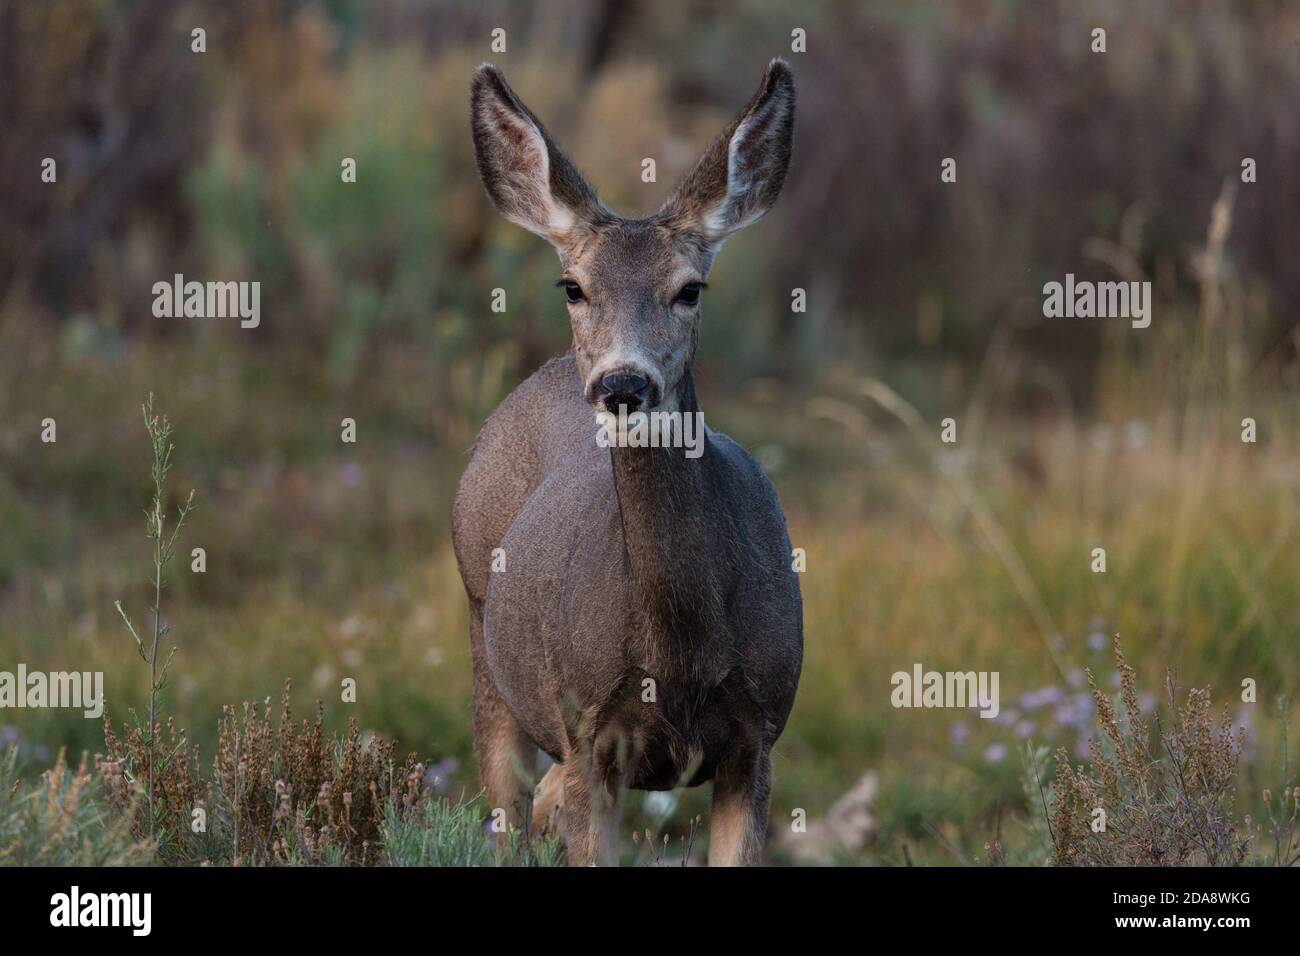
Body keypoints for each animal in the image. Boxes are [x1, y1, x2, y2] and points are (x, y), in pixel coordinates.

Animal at [453, 58, 802, 866]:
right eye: (574, 287)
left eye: (690, 289)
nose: (622, 383)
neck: (681, 656)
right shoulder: (589, 729)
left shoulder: (760, 732)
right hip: (488, 650)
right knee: (509, 813)